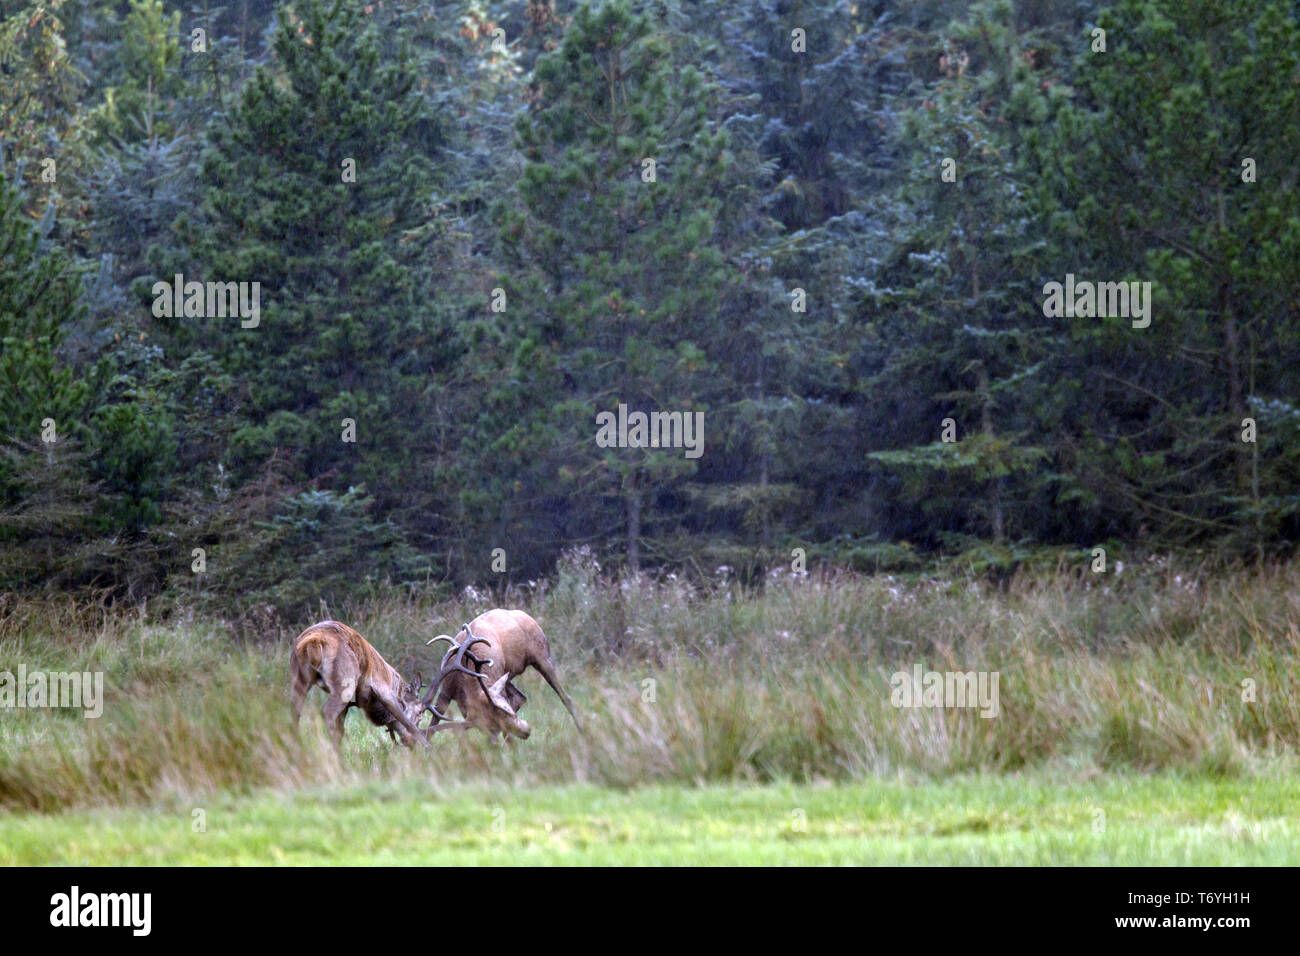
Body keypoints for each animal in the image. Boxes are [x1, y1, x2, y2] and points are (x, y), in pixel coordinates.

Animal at [289, 620, 428, 748]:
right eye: (420, 712)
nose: (409, 742)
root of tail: (312, 642)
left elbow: (341, 727)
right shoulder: (383, 689)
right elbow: (403, 719)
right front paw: (426, 746)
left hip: (300, 678)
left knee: (295, 711)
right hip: (345, 683)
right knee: (326, 712)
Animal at [419, 608, 581, 741]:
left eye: (506, 712)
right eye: (490, 726)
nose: (526, 731)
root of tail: (529, 617)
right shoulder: (446, 689)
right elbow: (433, 722)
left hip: (542, 656)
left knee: (565, 696)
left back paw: (581, 729)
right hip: (510, 674)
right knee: (521, 696)